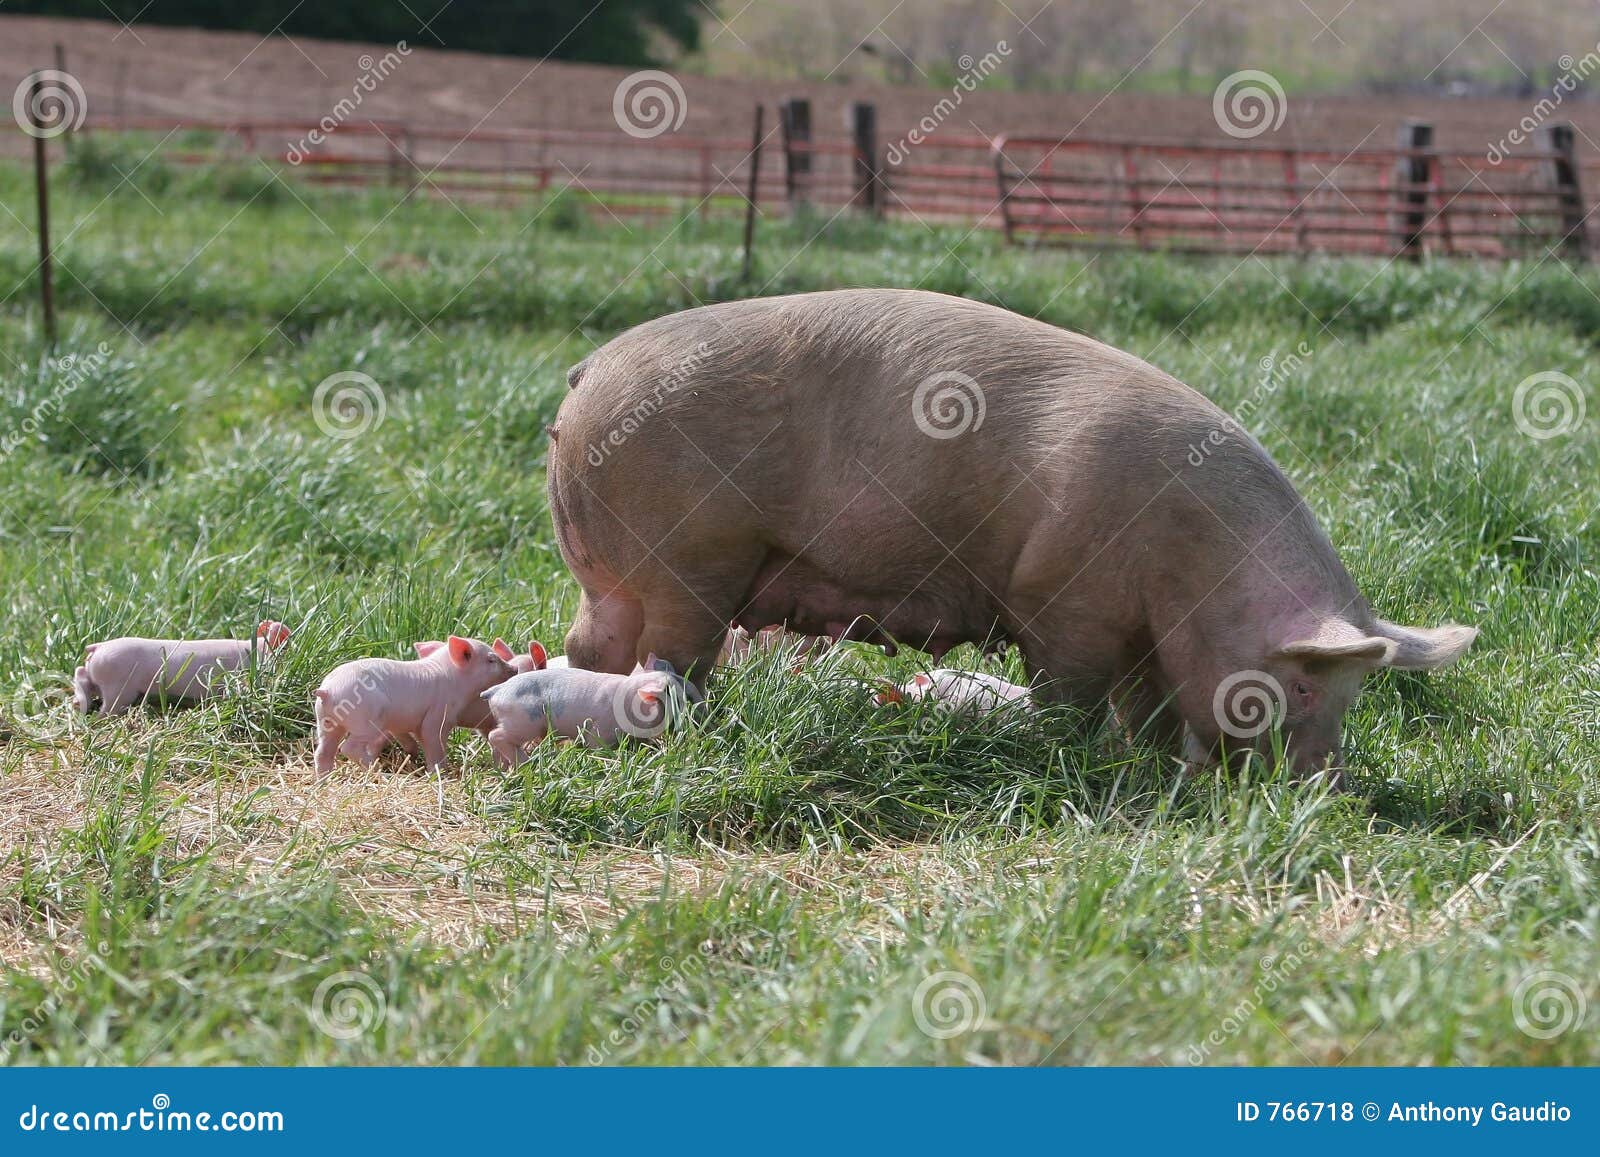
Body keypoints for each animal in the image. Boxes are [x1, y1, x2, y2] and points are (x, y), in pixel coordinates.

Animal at [313, 635, 514, 774]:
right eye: (491, 660)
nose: (513, 669)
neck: (452, 679)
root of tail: (328, 690)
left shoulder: (405, 723)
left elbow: (411, 739)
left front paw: (415, 756)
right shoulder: (438, 716)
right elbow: (434, 744)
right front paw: (440, 773)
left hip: (326, 722)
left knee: (323, 751)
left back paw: (324, 780)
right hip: (365, 721)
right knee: (348, 748)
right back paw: (377, 770)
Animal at [478, 654, 695, 766]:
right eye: (676, 698)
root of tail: (496, 690)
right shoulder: (601, 729)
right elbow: (595, 745)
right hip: (524, 721)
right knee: (496, 735)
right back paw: (526, 762)